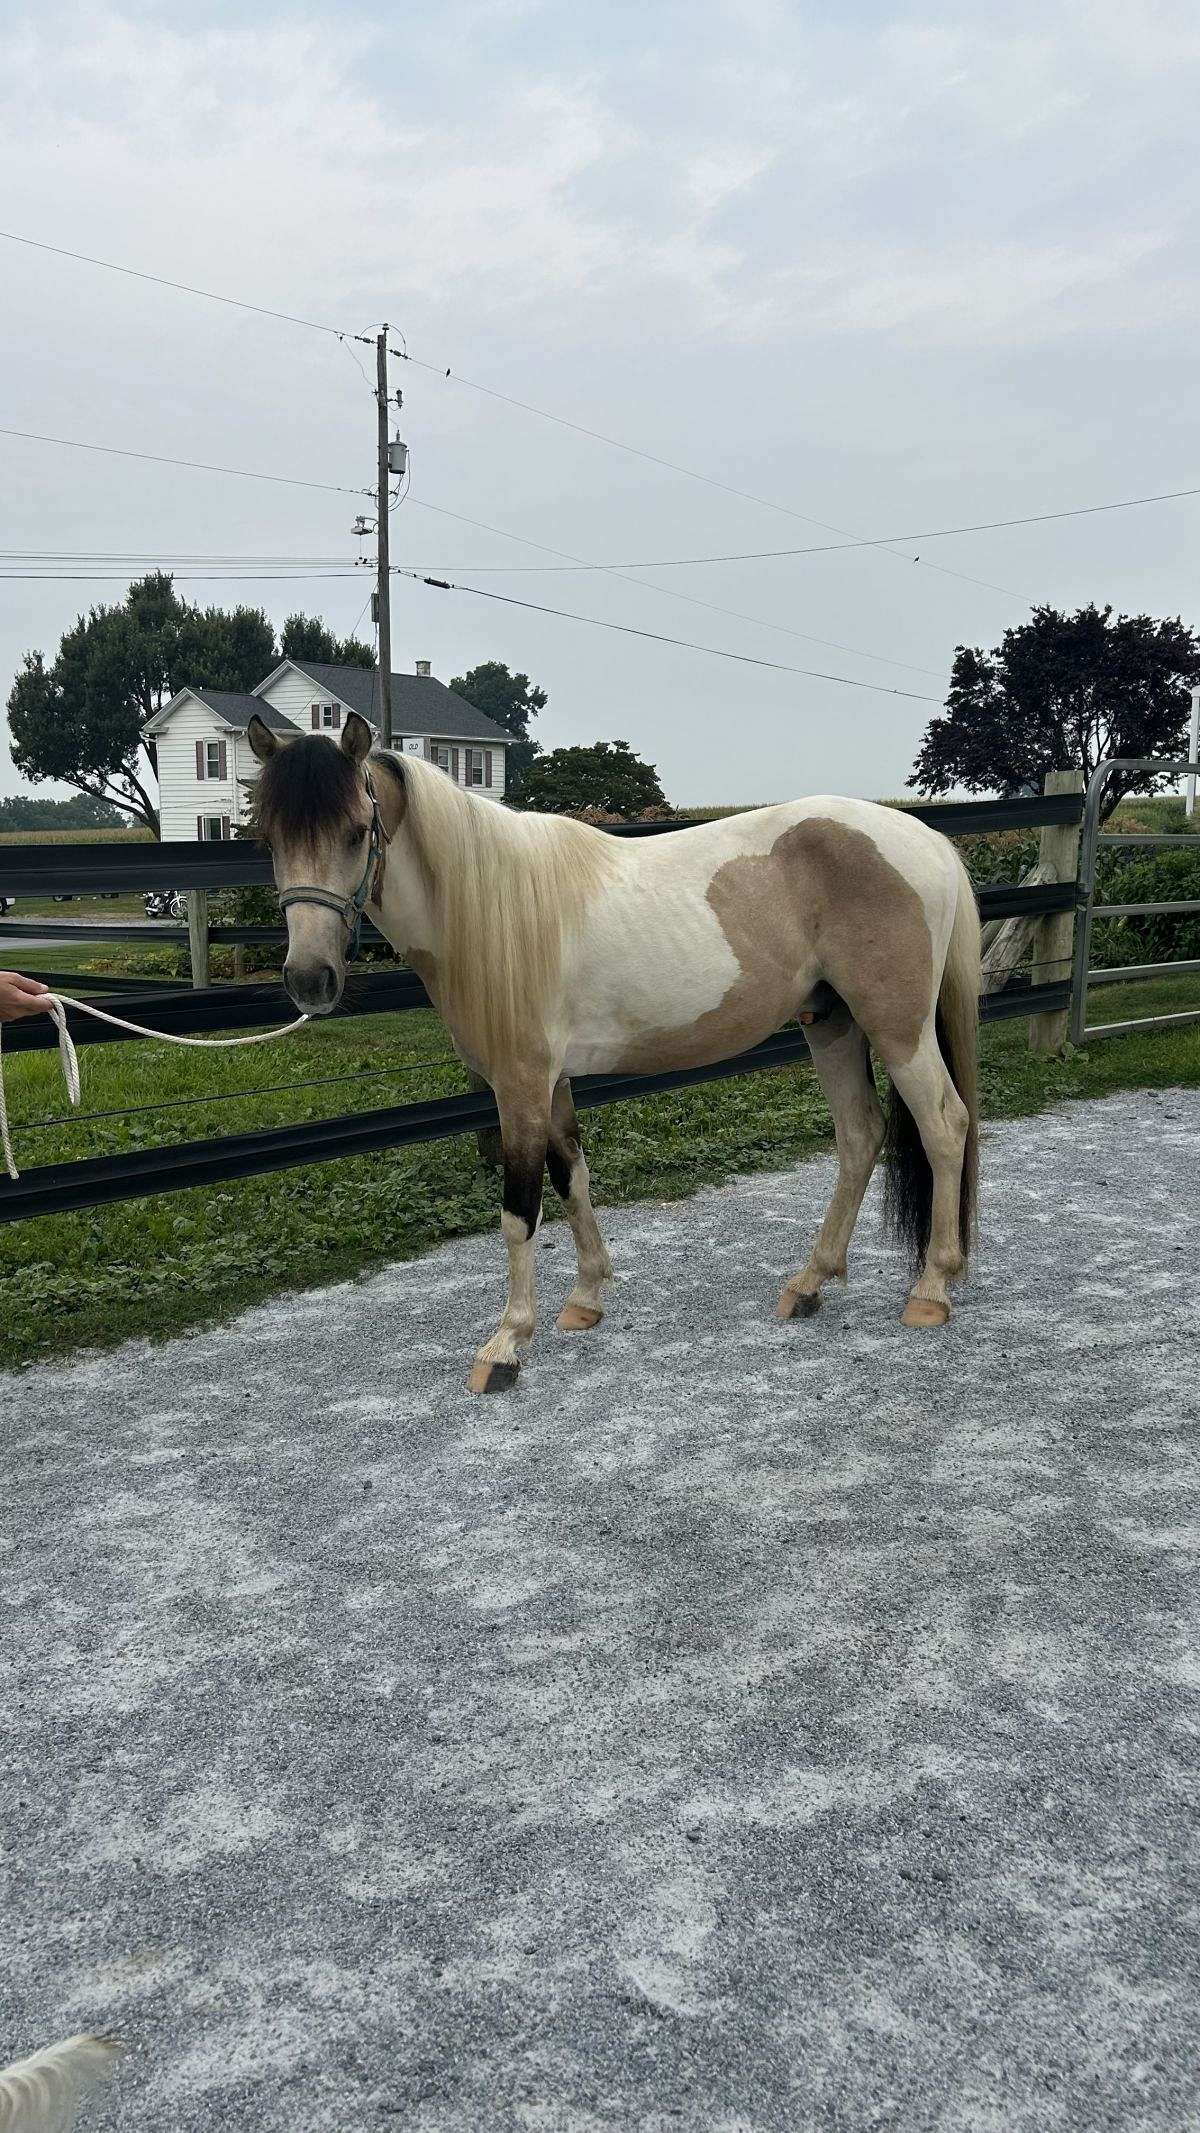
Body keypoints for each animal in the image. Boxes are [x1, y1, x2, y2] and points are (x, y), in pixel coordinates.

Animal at [248, 713, 980, 1394]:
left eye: (356, 829)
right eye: (268, 837)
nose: (309, 980)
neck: (491, 909)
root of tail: (928, 843)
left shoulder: (520, 1085)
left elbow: (520, 1212)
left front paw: (506, 1344)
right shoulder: (554, 1083)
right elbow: (572, 1178)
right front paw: (586, 1298)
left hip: (898, 1030)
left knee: (945, 1126)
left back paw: (932, 1288)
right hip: (830, 1024)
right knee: (859, 1136)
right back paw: (810, 1282)